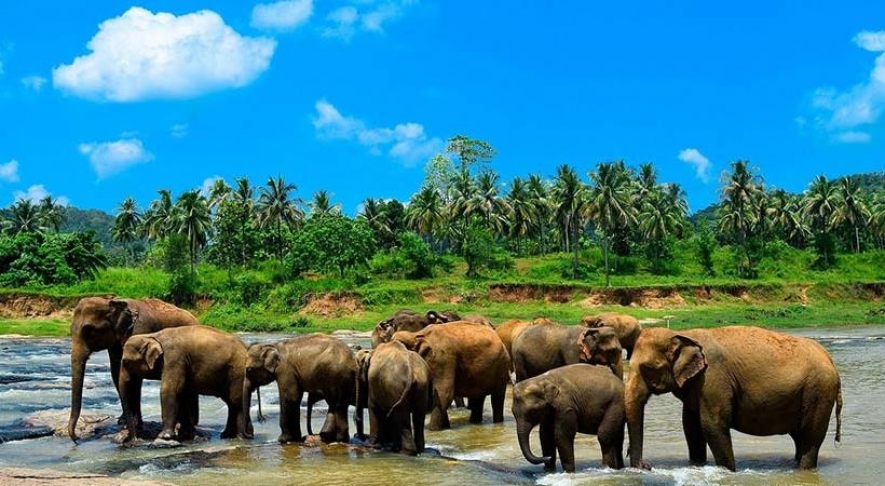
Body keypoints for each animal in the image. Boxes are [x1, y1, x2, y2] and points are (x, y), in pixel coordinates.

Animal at [68, 297, 199, 442]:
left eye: (88, 330)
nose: (76, 438)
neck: (111, 301)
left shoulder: (140, 331)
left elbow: (134, 377)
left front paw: (131, 425)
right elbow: (116, 372)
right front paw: (124, 423)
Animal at [118, 325, 252, 442]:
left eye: (125, 362)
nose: (135, 439)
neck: (152, 336)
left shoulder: (174, 358)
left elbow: (170, 390)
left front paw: (164, 436)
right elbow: (183, 393)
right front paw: (185, 435)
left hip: (238, 372)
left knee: (236, 402)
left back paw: (241, 437)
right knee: (232, 403)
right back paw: (232, 435)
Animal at [626, 326, 843, 471]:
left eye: (649, 368)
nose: (647, 465)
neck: (683, 333)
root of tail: (830, 359)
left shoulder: (713, 378)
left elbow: (712, 425)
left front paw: (728, 472)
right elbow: (691, 426)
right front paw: (698, 465)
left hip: (819, 390)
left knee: (811, 435)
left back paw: (803, 470)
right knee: (799, 436)